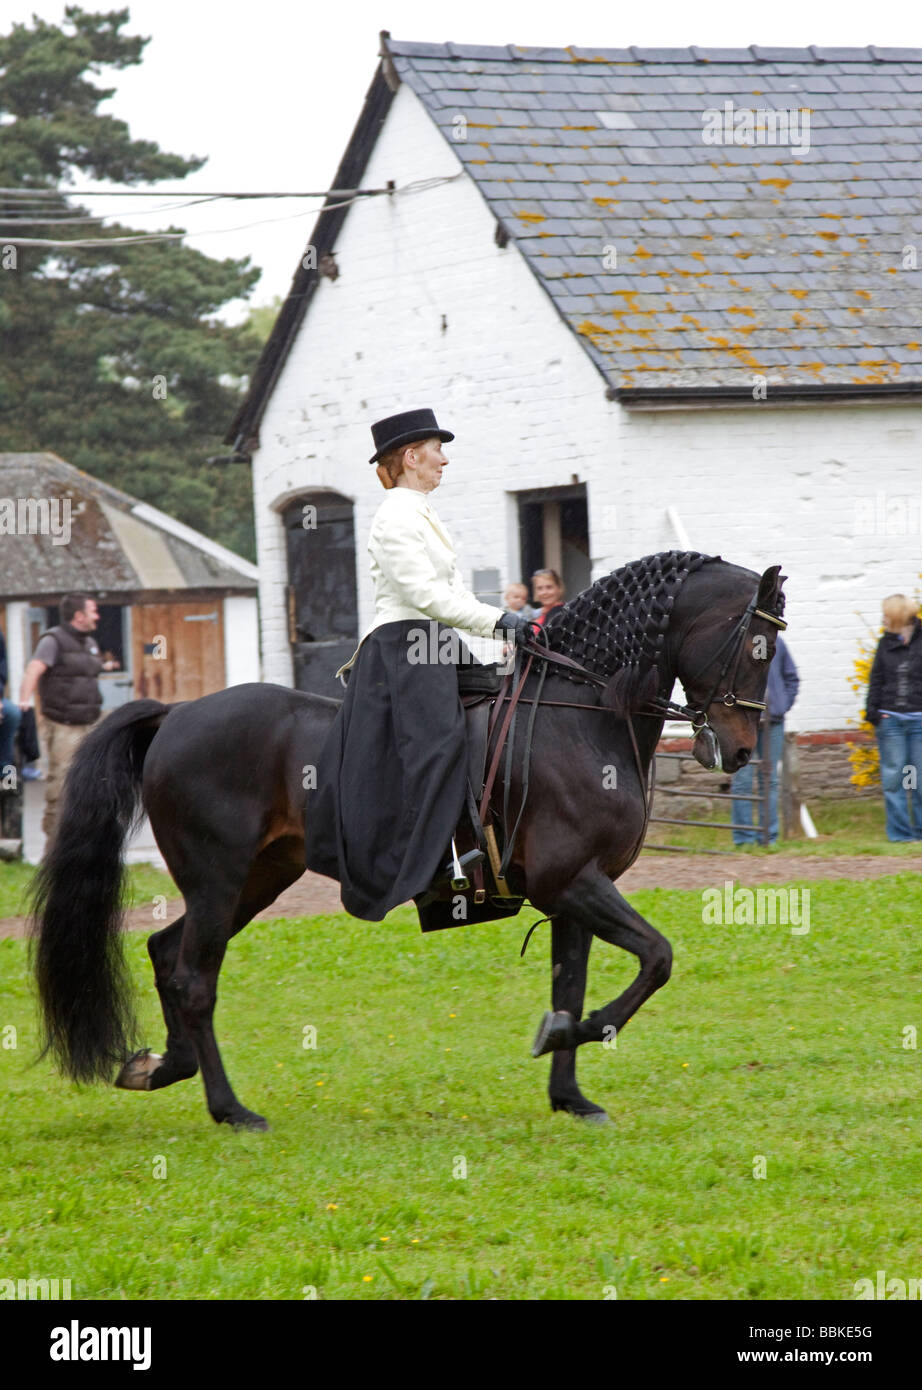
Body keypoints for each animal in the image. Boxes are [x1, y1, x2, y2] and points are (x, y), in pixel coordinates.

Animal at [30, 552, 786, 1129]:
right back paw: (230, 1109)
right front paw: (568, 1040)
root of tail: (177, 713)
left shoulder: (574, 893)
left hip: (254, 879)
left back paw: (162, 1068)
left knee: (167, 954)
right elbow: (656, 959)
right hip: (219, 880)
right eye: (757, 644)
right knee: (193, 979)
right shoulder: (570, 881)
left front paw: (570, 1092)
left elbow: (571, 987)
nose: (742, 750)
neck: (582, 714)